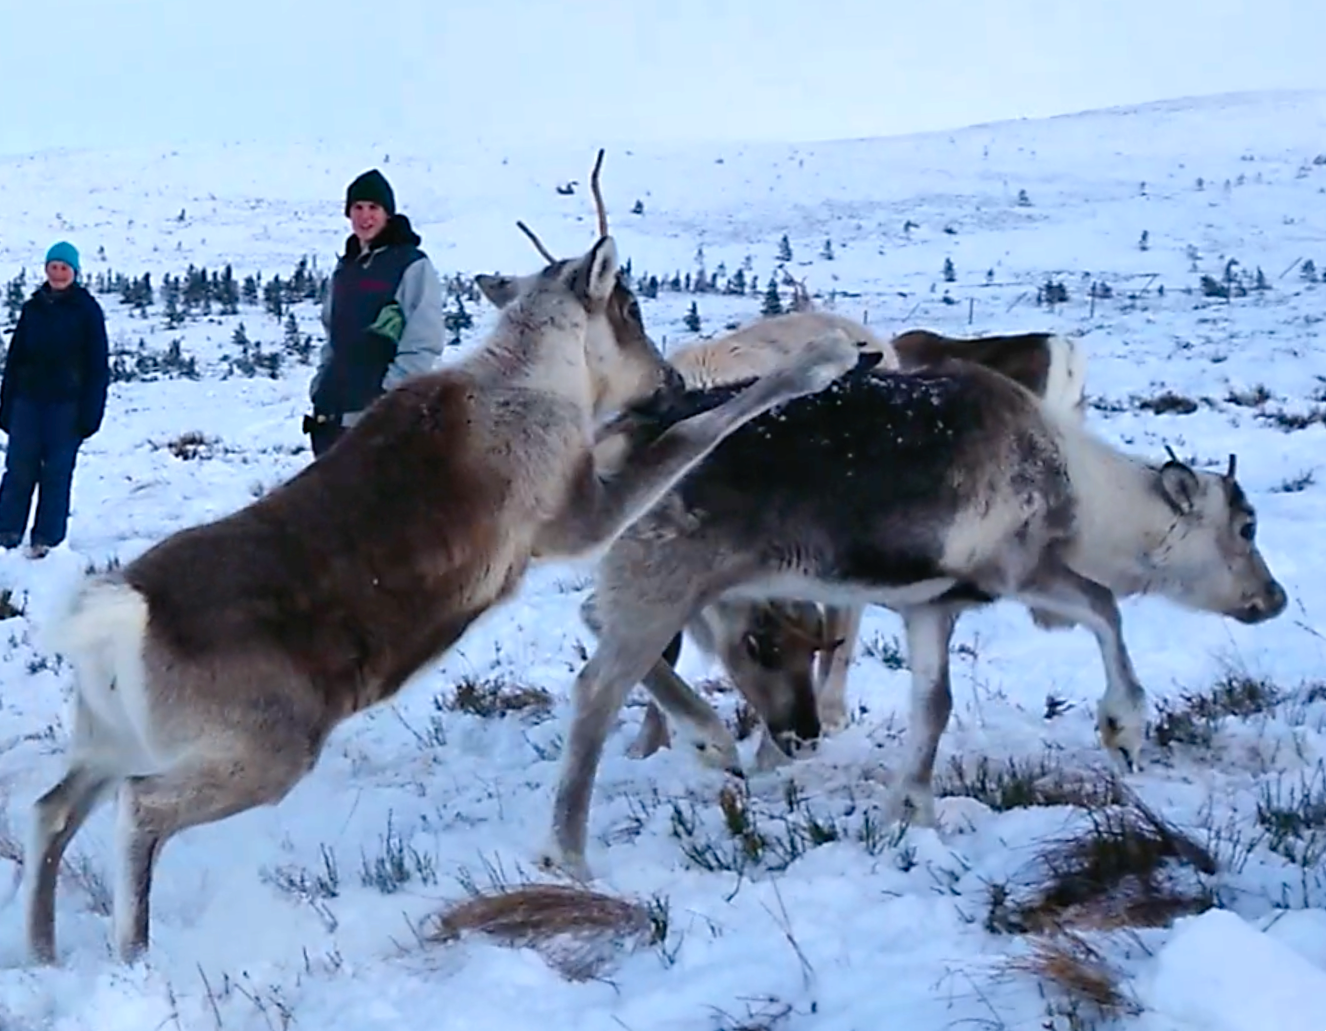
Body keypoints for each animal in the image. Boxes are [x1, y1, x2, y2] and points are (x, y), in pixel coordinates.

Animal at [19, 151, 866, 966]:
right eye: (627, 308)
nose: (668, 379)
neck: (534, 379)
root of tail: (121, 623)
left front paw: (712, 741)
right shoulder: (573, 520)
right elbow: (703, 430)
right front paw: (819, 359)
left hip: (109, 732)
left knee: (52, 807)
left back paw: (42, 951)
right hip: (263, 750)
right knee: (139, 807)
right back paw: (132, 954)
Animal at [544, 353, 1286, 881]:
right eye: (1246, 527)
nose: (1274, 597)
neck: (1082, 499)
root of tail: (615, 439)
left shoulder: (932, 604)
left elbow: (934, 703)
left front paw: (912, 807)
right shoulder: (1018, 570)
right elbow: (1106, 609)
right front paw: (1123, 726)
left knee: (597, 624)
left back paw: (704, 740)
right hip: (670, 569)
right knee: (597, 685)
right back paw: (569, 850)